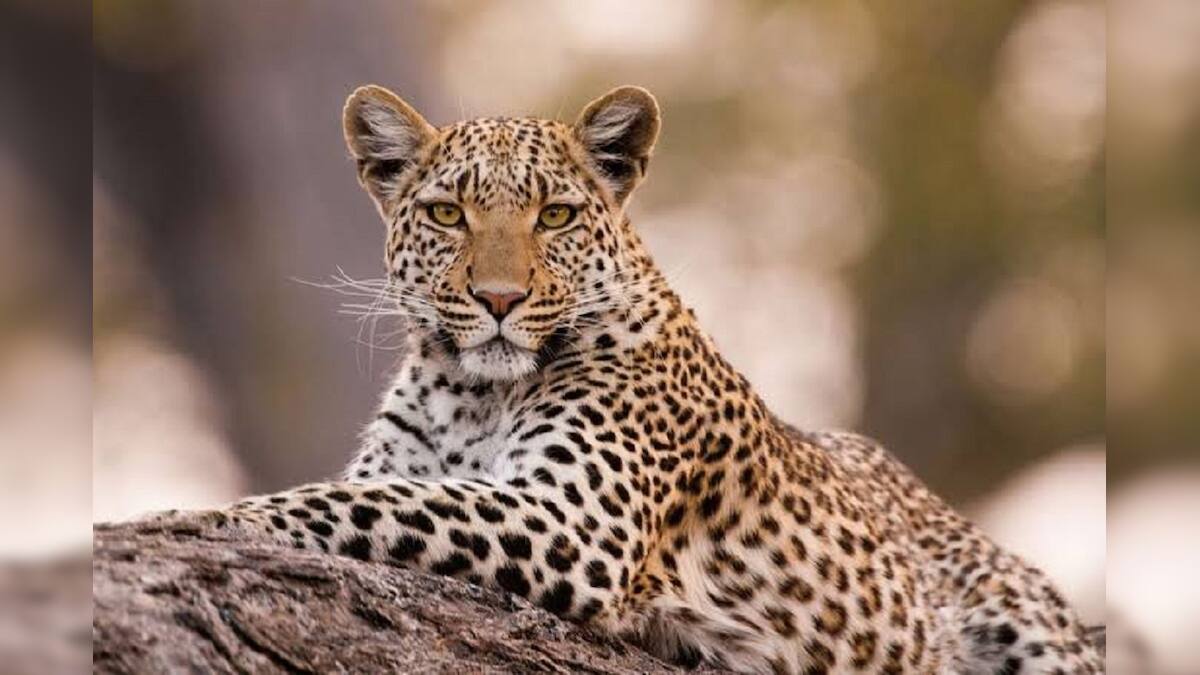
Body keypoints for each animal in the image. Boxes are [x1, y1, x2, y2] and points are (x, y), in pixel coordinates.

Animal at [164, 84, 1102, 674]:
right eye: (446, 214)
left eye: (555, 215)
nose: (498, 299)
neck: (470, 392)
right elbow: (376, 488)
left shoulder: (577, 521)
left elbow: (358, 501)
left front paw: (188, 517)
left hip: (1031, 624)